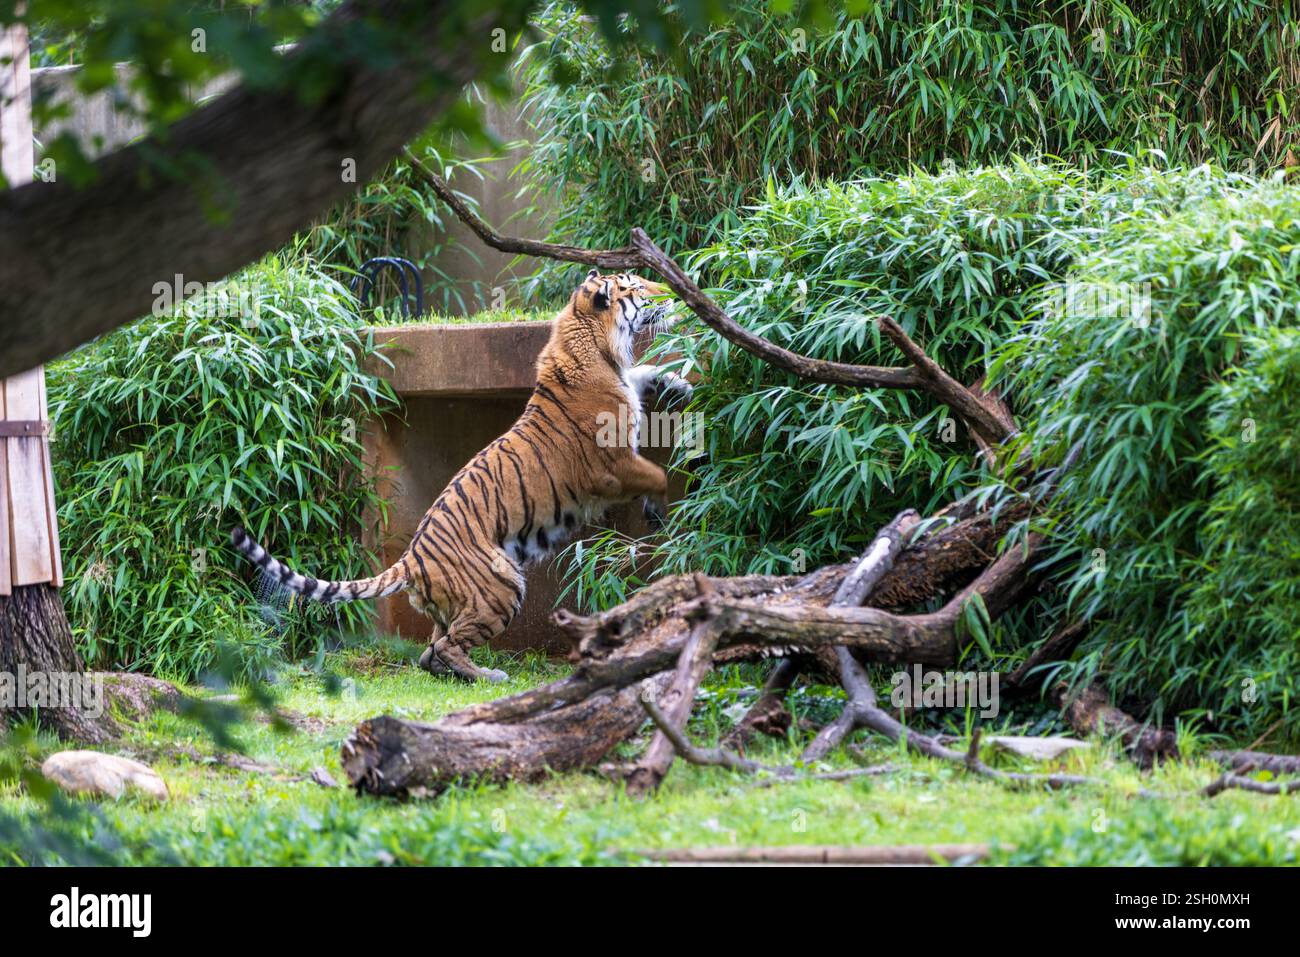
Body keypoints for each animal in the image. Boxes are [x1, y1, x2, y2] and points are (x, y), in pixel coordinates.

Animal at [230, 270, 691, 682]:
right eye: (638, 287)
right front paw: (657, 512)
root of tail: (409, 559)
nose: (670, 292)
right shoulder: (611, 463)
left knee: (430, 651)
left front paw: (678, 383)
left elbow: (643, 374)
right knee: (447, 647)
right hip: (501, 586)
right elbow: (657, 474)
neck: (595, 342)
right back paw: (490, 676)